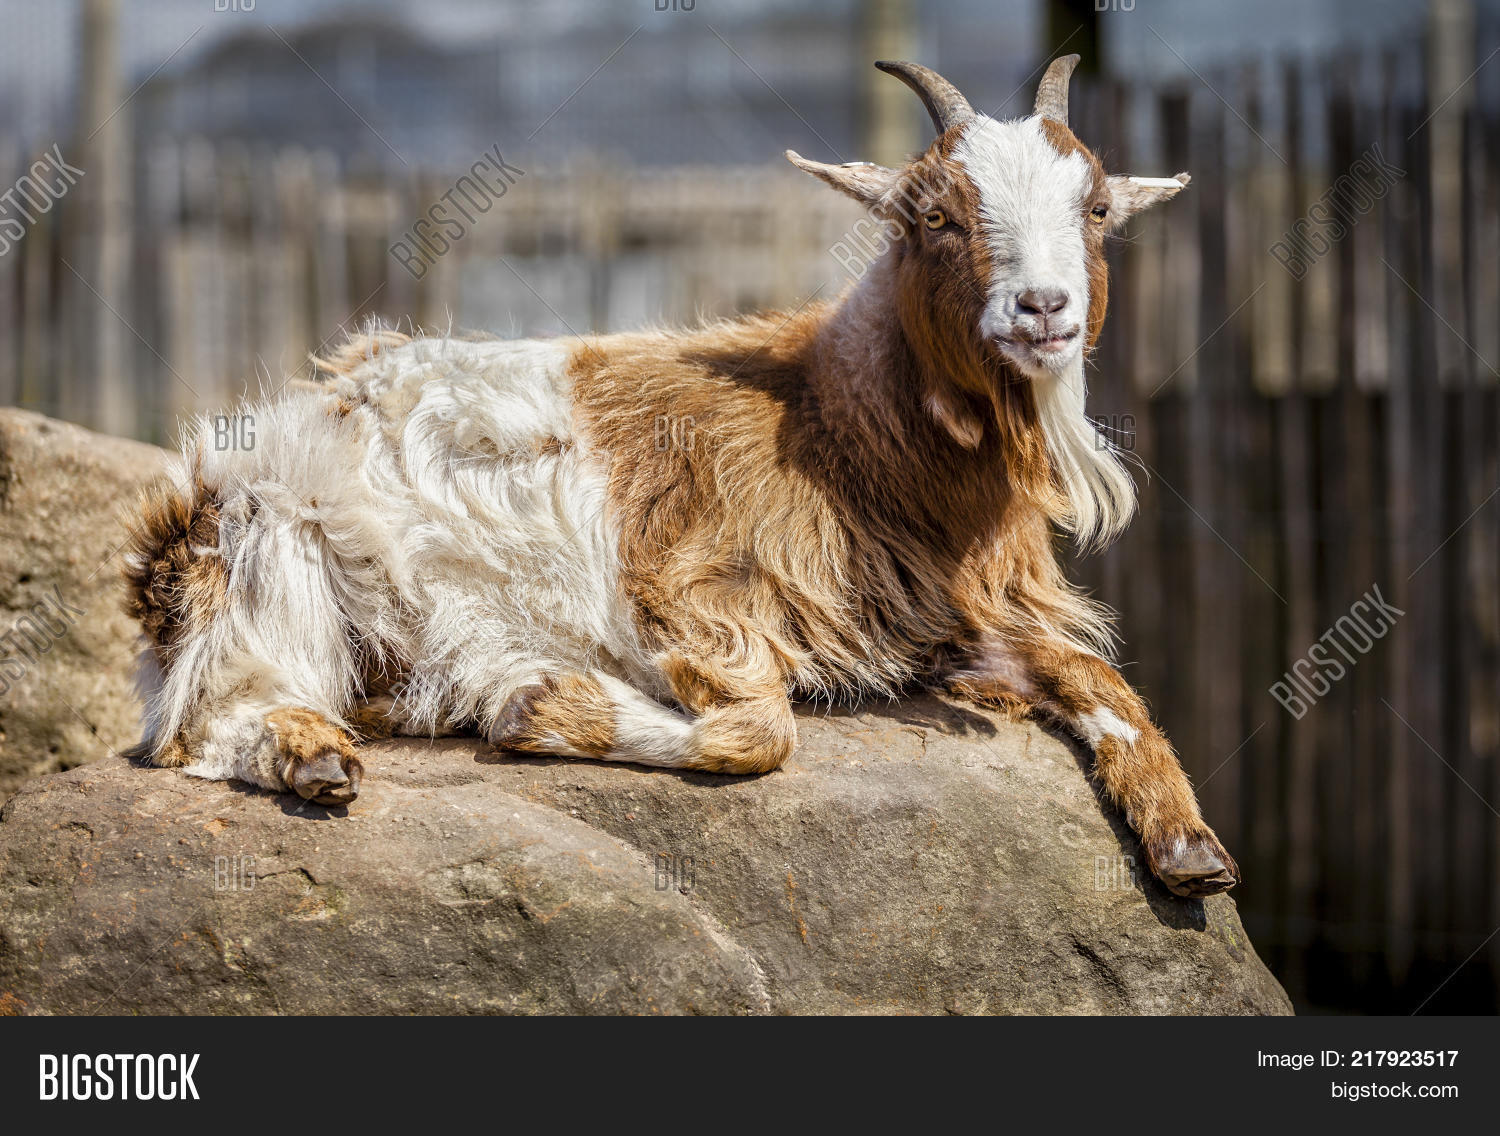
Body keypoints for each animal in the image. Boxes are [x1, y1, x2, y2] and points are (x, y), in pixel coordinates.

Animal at [124, 57, 1237, 898]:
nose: (1044, 308)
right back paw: (313, 755)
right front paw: (540, 705)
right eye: (933, 215)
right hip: (278, 548)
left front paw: (1191, 847)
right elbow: (757, 731)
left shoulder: (953, 616)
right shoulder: (684, 591)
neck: (829, 414)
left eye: (1098, 207)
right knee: (198, 723)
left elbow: (1097, 677)